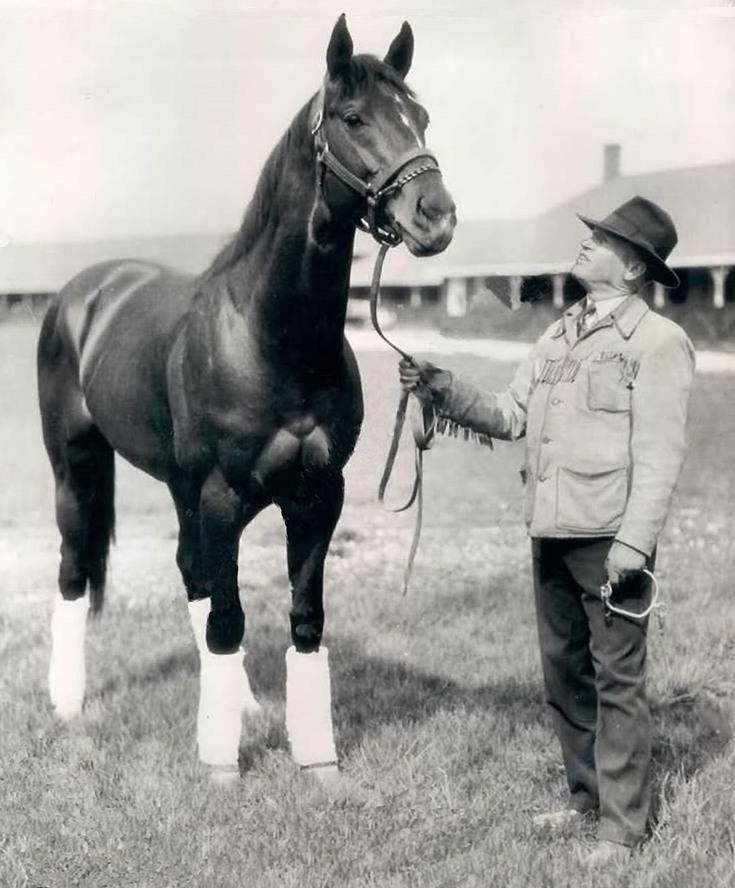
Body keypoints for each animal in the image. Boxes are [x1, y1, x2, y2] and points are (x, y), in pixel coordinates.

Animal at [37, 14, 456, 781]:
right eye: (353, 118)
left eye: (420, 116)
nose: (435, 215)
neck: (272, 337)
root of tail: (85, 292)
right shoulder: (223, 494)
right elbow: (230, 617)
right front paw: (221, 765)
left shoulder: (318, 494)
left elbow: (302, 618)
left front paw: (316, 762)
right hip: (75, 467)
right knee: (76, 570)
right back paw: (69, 705)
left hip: (178, 486)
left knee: (191, 575)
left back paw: (241, 705)